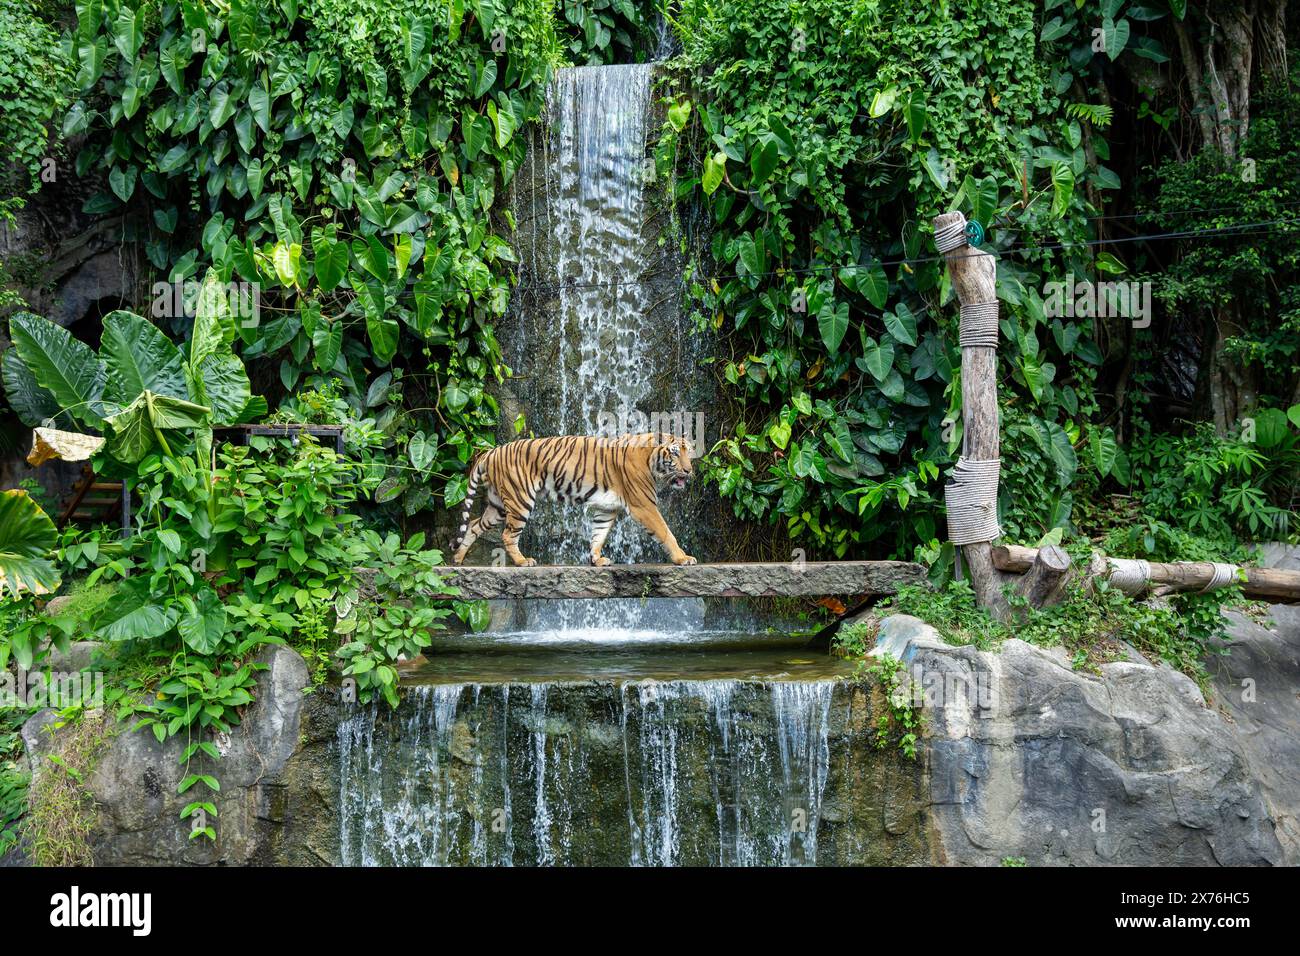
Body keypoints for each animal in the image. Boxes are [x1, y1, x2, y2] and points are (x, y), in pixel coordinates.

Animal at [450, 432, 696, 568]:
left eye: (689, 453)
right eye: (675, 453)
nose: (689, 470)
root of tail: (491, 451)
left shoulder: (607, 509)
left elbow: (599, 535)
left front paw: (597, 560)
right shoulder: (643, 506)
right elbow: (666, 532)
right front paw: (683, 558)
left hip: (499, 505)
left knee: (474, 525)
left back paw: (458, 559)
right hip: (519, 500)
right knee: (507, 535)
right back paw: (522, 562)